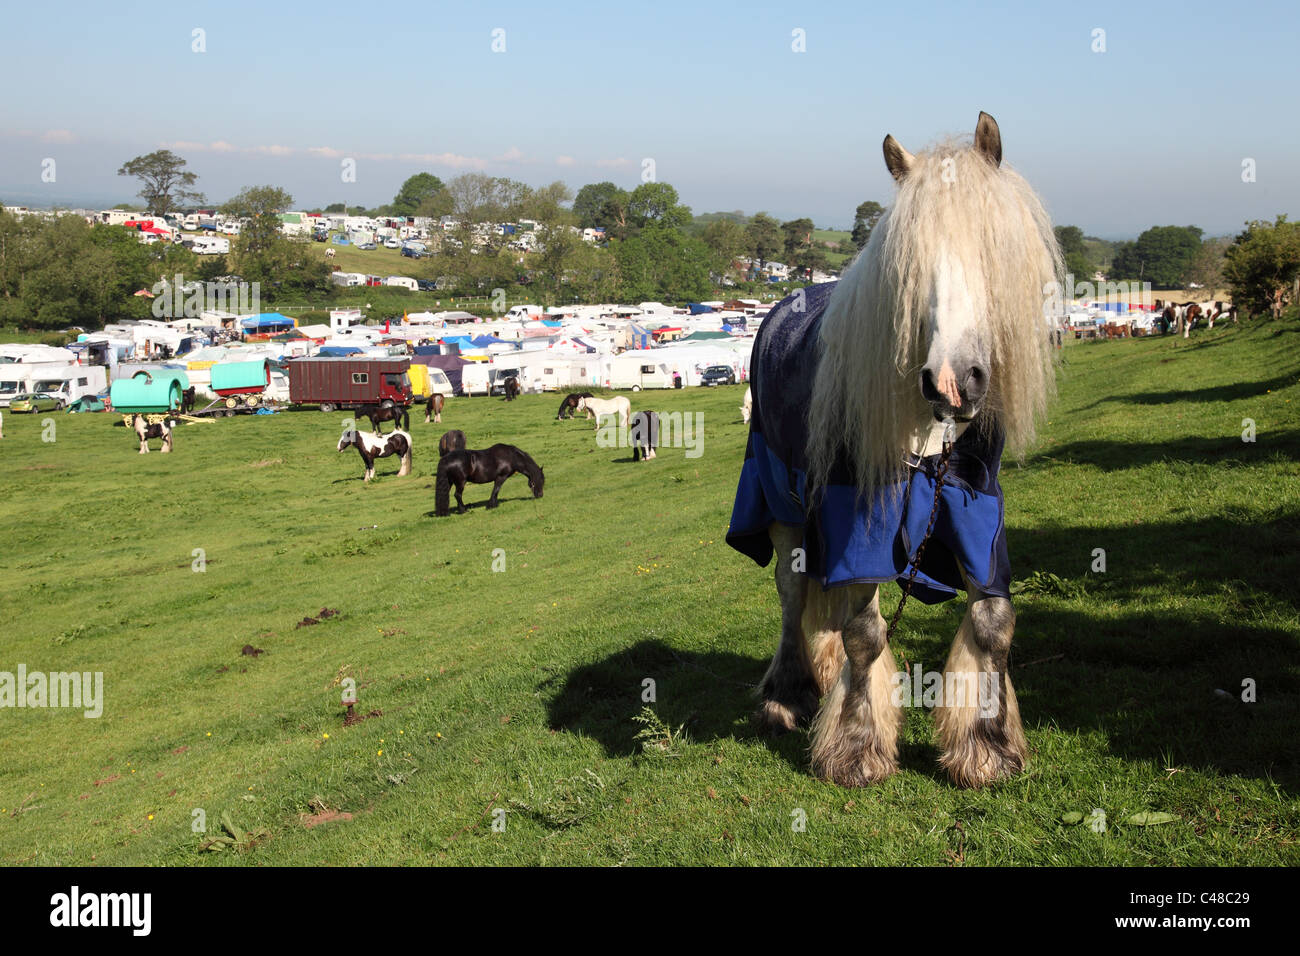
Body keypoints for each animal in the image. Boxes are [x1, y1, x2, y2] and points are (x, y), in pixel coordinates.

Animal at [726, 112, 1057, 790]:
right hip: (782, 503)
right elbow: (864, 633)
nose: (953, 382)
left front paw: (988, 746)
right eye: (911, 267)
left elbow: (993, 622)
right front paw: (856, 747)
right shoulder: (859, 521)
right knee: (792, 593)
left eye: (991, 249)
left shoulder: (976, 509)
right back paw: (787, 694)